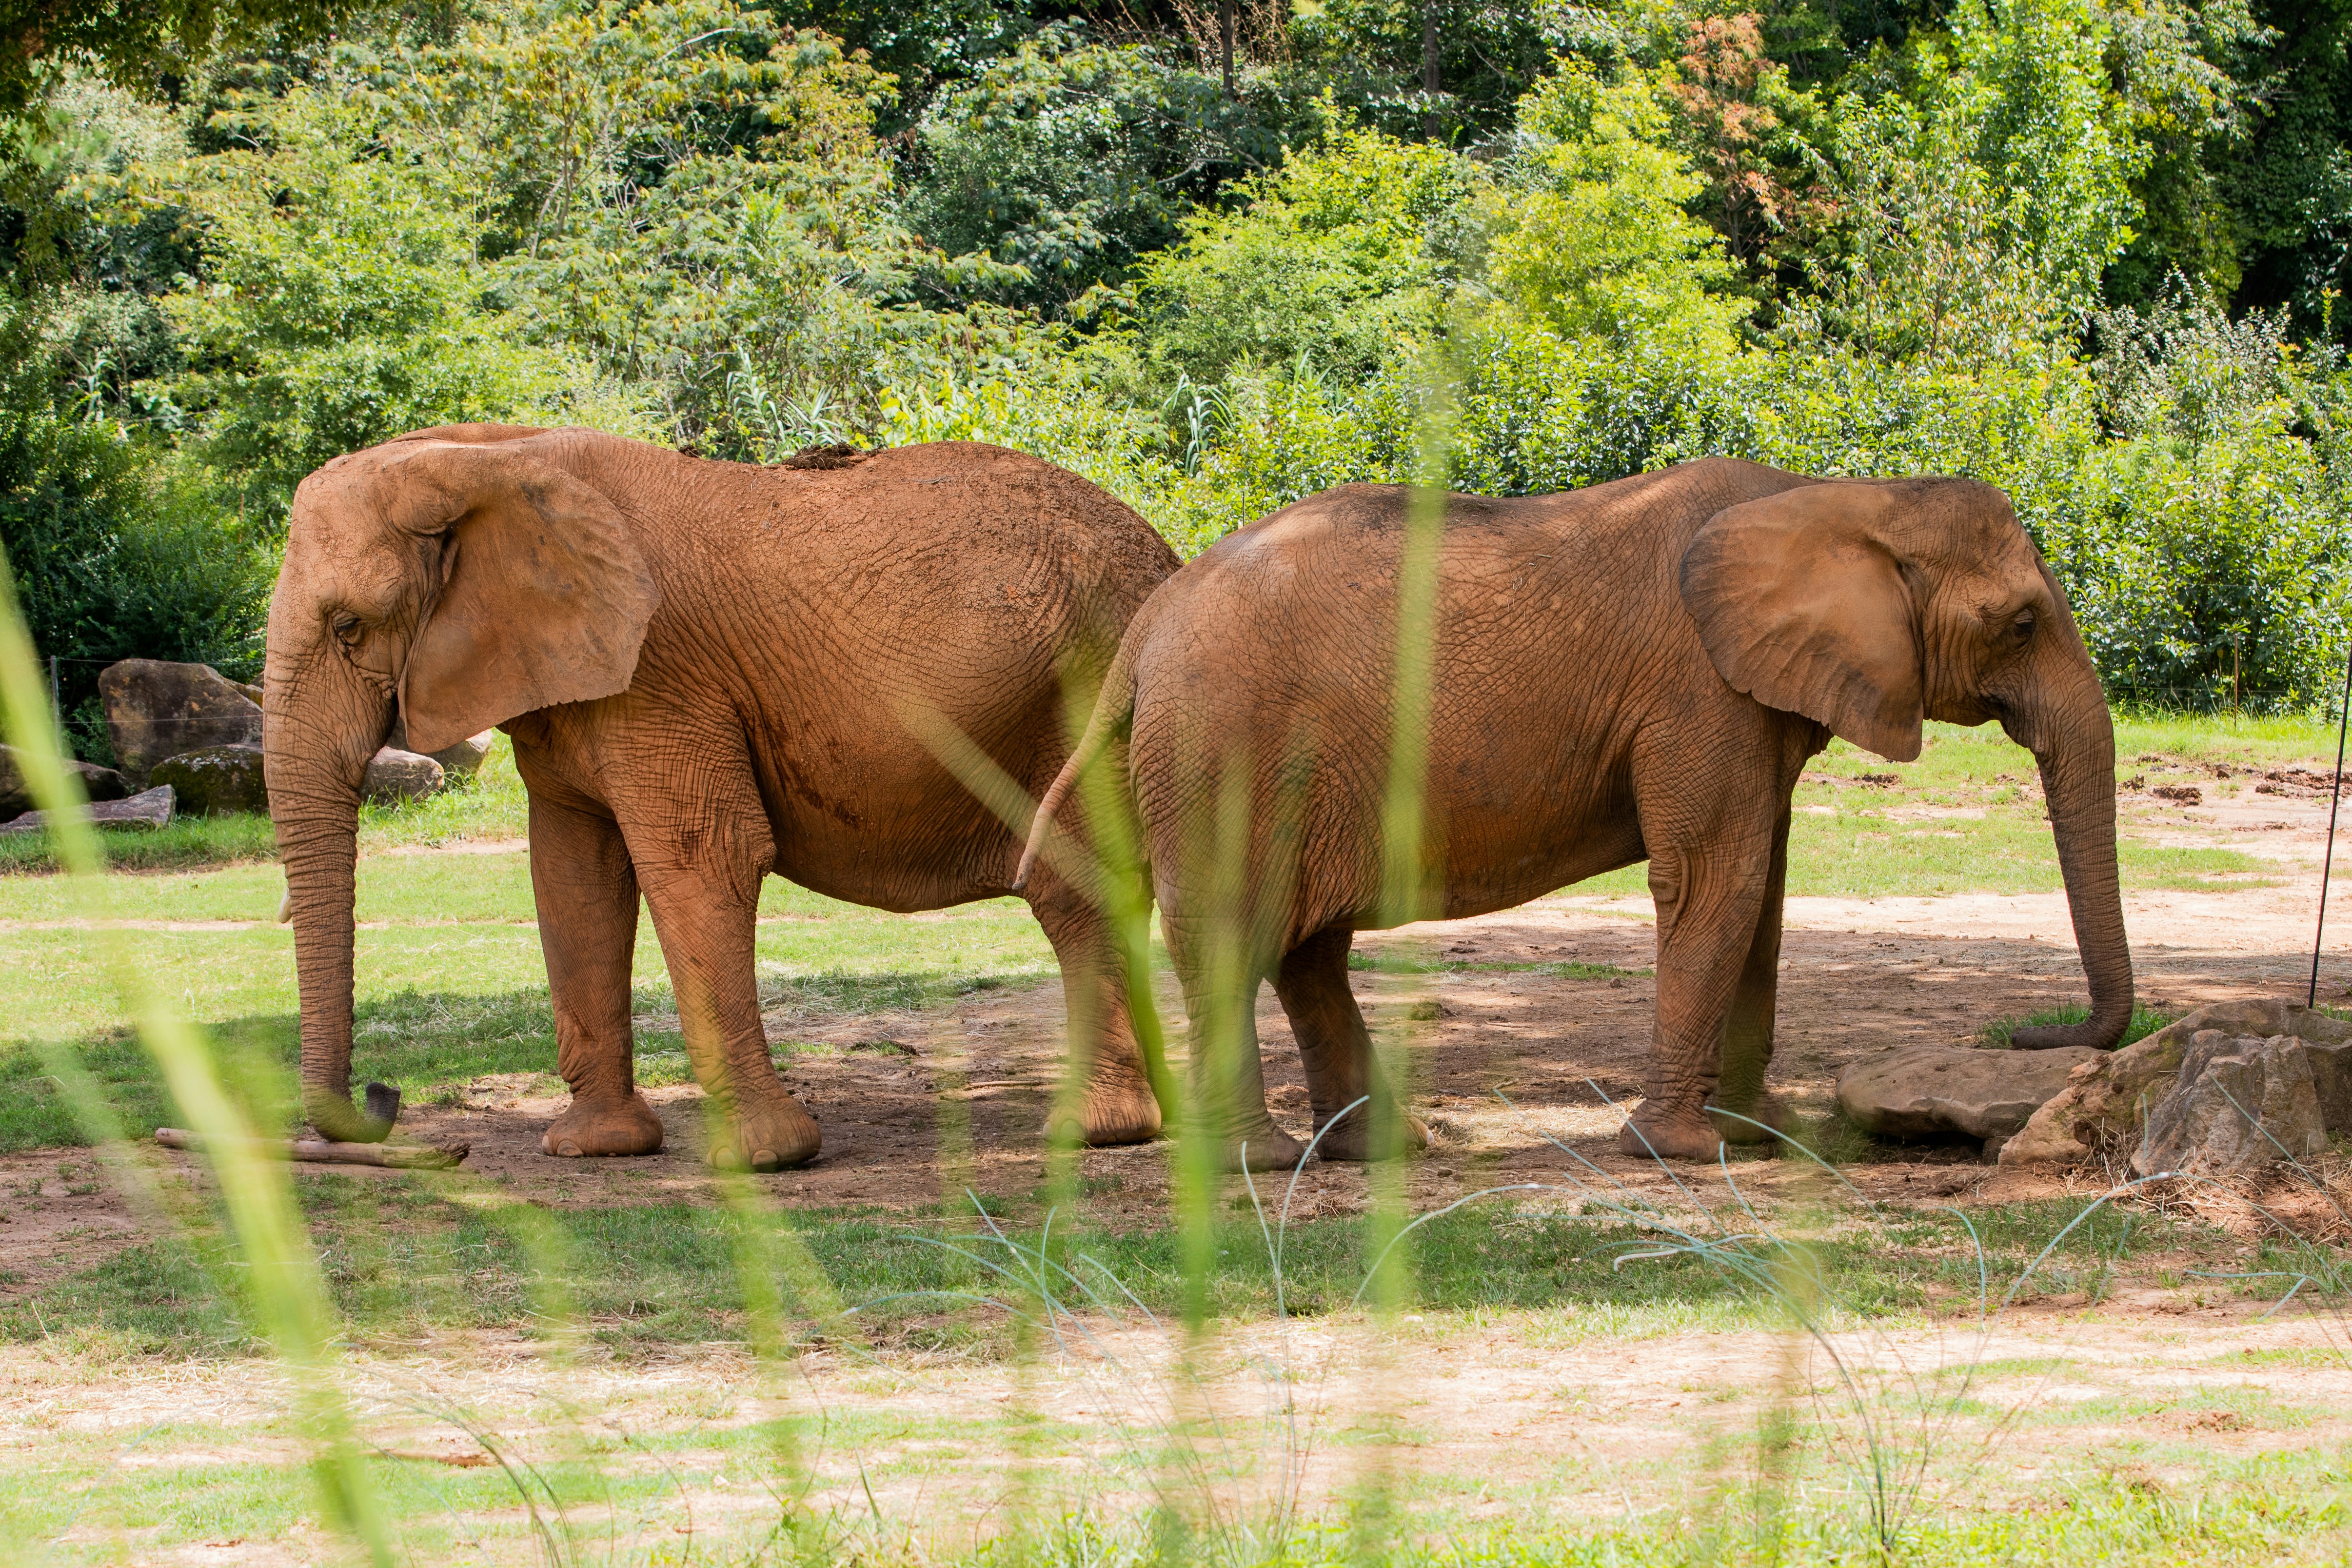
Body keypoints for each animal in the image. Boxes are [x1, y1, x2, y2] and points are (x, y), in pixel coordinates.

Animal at [266, 424, 1181, 1170]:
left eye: (349, 628)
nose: (388, 1098)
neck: (479, 459)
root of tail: (1167, 557)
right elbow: (572, 879)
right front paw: (595, 1149)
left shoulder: (662, 678)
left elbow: (701, 861)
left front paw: (761, 1161)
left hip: (1081, 692)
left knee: (1073, 886)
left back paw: (1095, 1132)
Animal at [1017, 458, 2133, 1166]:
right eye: (2018, 623)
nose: (2032, 1036)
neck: (1840, 498)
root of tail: (1152, 620)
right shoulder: (1696, 691)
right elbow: (1715, 880)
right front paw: (1681, 1151)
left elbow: (1761, 893)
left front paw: (1763, 1133)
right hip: (1222, 743)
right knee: (1236, 935)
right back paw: (1255, 1161)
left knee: (1304, 948)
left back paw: (1376, 1152)